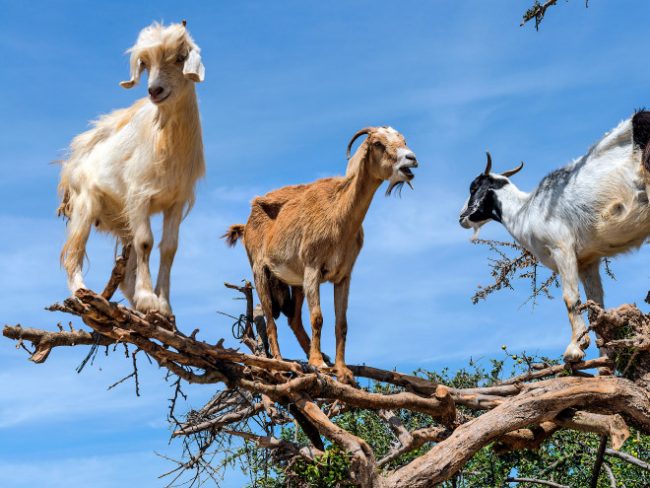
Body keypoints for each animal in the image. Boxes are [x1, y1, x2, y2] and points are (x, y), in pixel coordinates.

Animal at [58, 21, 205, 315]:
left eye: (180, 58)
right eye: (145, 63)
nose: (154, 91)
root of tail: (72, 162)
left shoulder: (176, 201)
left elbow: (169, 248)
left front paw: (163, 305)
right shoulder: (139, 196)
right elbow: (146, 241)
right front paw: (149, 298)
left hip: (121, 218)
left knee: (125, 273)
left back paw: (134, 303)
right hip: (85, 205)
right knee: (73, 253)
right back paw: (81, 294)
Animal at [224, 127, 419, 383]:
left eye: (403, 140)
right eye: (377, 143)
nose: (411, 159)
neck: (338, 214)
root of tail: (246, 223)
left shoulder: (343, 276)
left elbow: (341, 323)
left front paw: (342, 370)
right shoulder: (312, 268)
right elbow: (317, 317)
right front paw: (318, 363)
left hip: (294, 282)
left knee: (293, 319)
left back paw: (313, 356)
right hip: (260, 273)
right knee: (270, 321)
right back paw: (279, 363)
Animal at [459, 111, 650, 363]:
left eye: (473, 188)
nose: (462, 217)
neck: (526, 210)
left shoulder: (561, 246)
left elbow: (570, 297)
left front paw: (575, 349)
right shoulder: (588, 260)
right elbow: (595, 305)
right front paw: (605, 359)